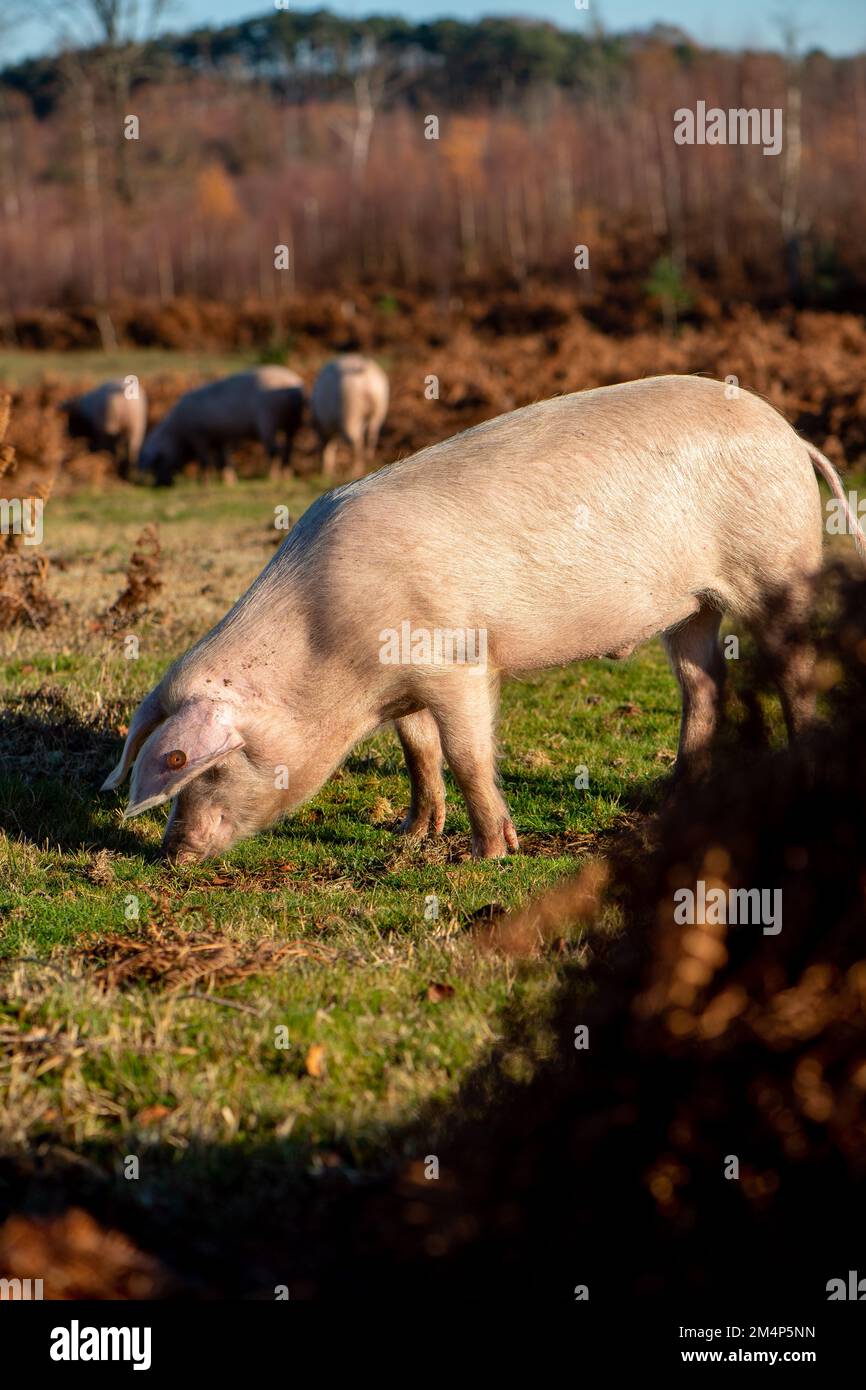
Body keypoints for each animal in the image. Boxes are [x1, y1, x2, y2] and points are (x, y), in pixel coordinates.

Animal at [139, 367, 304, 486]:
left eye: (158, 462)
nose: (160, 485)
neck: (177, 434)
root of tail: (292, 385)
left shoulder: (198, 437)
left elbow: (205, 460)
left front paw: (204, 482)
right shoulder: (220, 438)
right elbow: (223, 459)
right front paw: (228, 481)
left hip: (268, 418)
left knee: (274, 450)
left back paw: (272, 477)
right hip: (292, 424)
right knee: (288, 448)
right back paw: (287, 475)